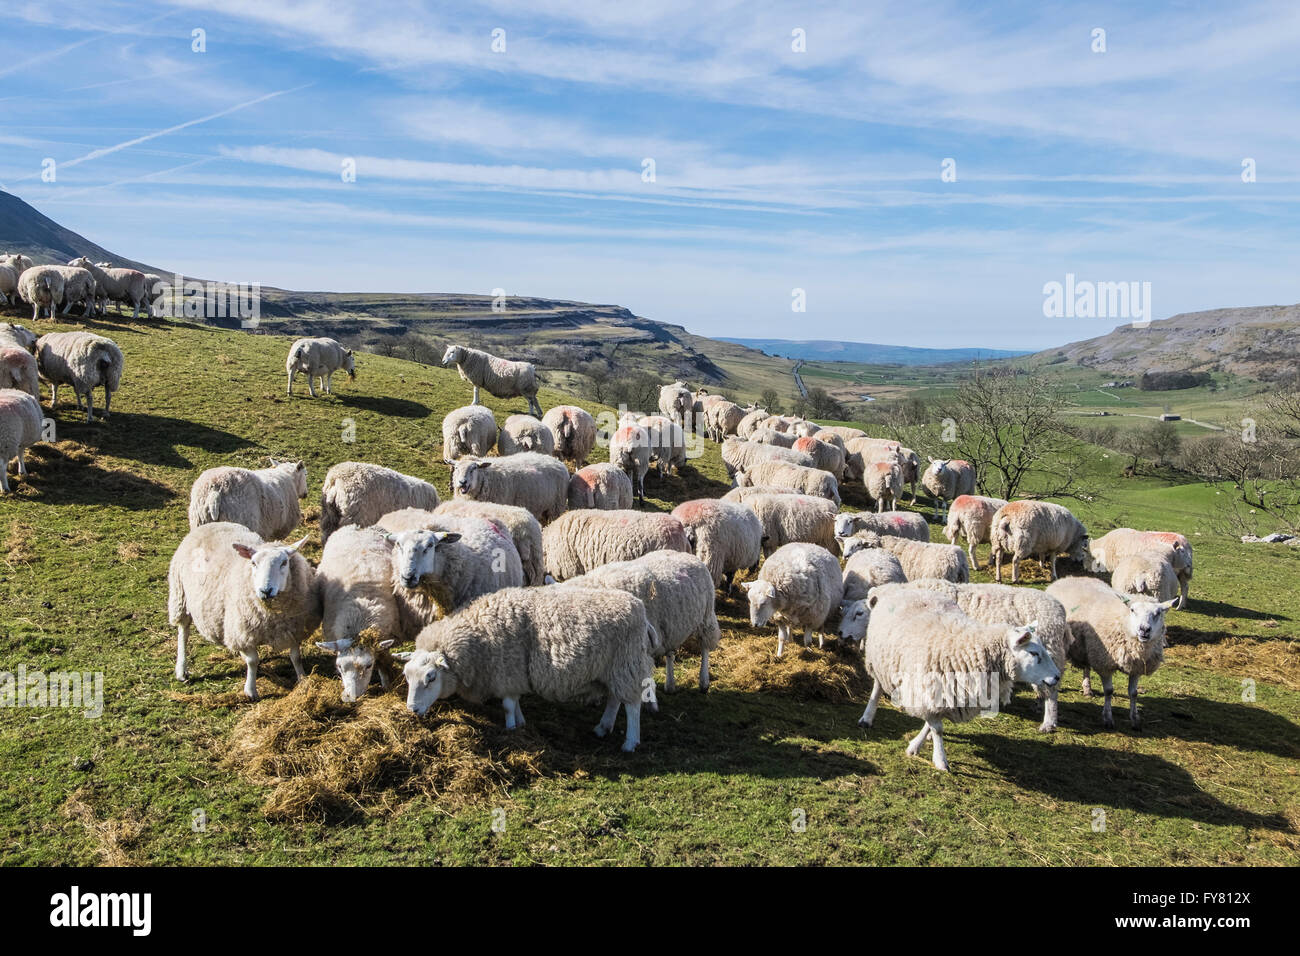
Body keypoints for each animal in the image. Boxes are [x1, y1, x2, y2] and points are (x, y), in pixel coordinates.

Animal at [168, 522, 320, 700]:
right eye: (253, 563)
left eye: (284, 562)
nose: (265, 590)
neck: (272, 614)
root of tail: (212, 524)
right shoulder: (243, 631)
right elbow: (253, 661)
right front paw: (251, 690)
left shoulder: (294, 627)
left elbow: (296, 656)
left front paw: (303, 680)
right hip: (180, 595)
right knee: (183, 631)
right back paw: (181, 669)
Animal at [400, 584, 658, 750]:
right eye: (407, 677)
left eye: (431, 677)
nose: (412, 710)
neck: (476, 635)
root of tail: (641, 610)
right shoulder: (512, 678)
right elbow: (514, 703)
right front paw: (521, 723)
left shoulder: (506, 671)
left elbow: (506, 706)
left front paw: (511, 729)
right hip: (612, 668)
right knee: (615, 698)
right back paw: (603, 727)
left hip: (627, 661)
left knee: (632, 706)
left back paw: (630, 743)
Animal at [565, 550, 721, 692]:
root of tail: (686, 554)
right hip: (671, 628)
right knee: (670, 653)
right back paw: (670, 685)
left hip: (706, 616)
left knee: (705, 647)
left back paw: (704, 681)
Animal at [857, 587, 1060, 770]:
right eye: (1034, 653)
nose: (1057, 677)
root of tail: (909, 590)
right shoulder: (927, 689)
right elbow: (937, 728)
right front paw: (940, 760)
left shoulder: (943, 694)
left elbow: (932, 724)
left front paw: (916, 745)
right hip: (878, 662)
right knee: (877, 687)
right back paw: (867, 717)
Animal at [1045, 575, 1176, 730]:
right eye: (1132, 610)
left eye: (1158, 613)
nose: (1144, 629)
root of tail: (1071, 577)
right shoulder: (1104, 663)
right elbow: (1108, 691)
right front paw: (1108, 718)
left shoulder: (1136, 667)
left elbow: (1133, 693)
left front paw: (1135, 719)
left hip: (1087, 646)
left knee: (1086, 667)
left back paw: (1087, 689)